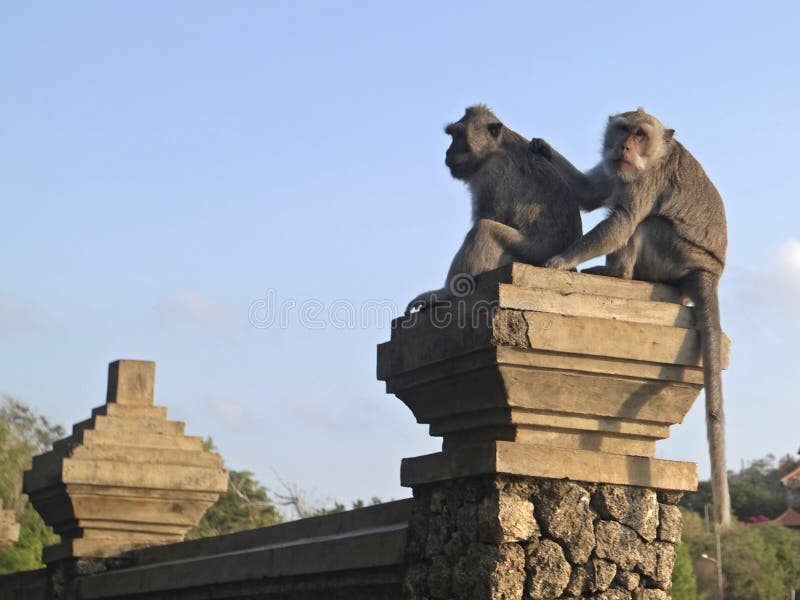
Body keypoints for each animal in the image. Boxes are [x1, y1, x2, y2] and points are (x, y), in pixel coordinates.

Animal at [406, 105, 582, 313]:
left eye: (459, 135)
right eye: (452, 135)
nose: (448, 152)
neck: (496, 148)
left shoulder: (492, 173)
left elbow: (491, 216)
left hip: (528, 253)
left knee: (484, 228)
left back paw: (447, 292)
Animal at [529, 108, 731, 529]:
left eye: (640, 134)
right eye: (623, 130)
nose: (623, 146)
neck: (651, 157)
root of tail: (708, 272)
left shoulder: (647, 178)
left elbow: (622, 219)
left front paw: (560, 261)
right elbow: (590, 192)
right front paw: (543, 148)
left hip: (674, 256)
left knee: (645, 225)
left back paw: (617, 275)